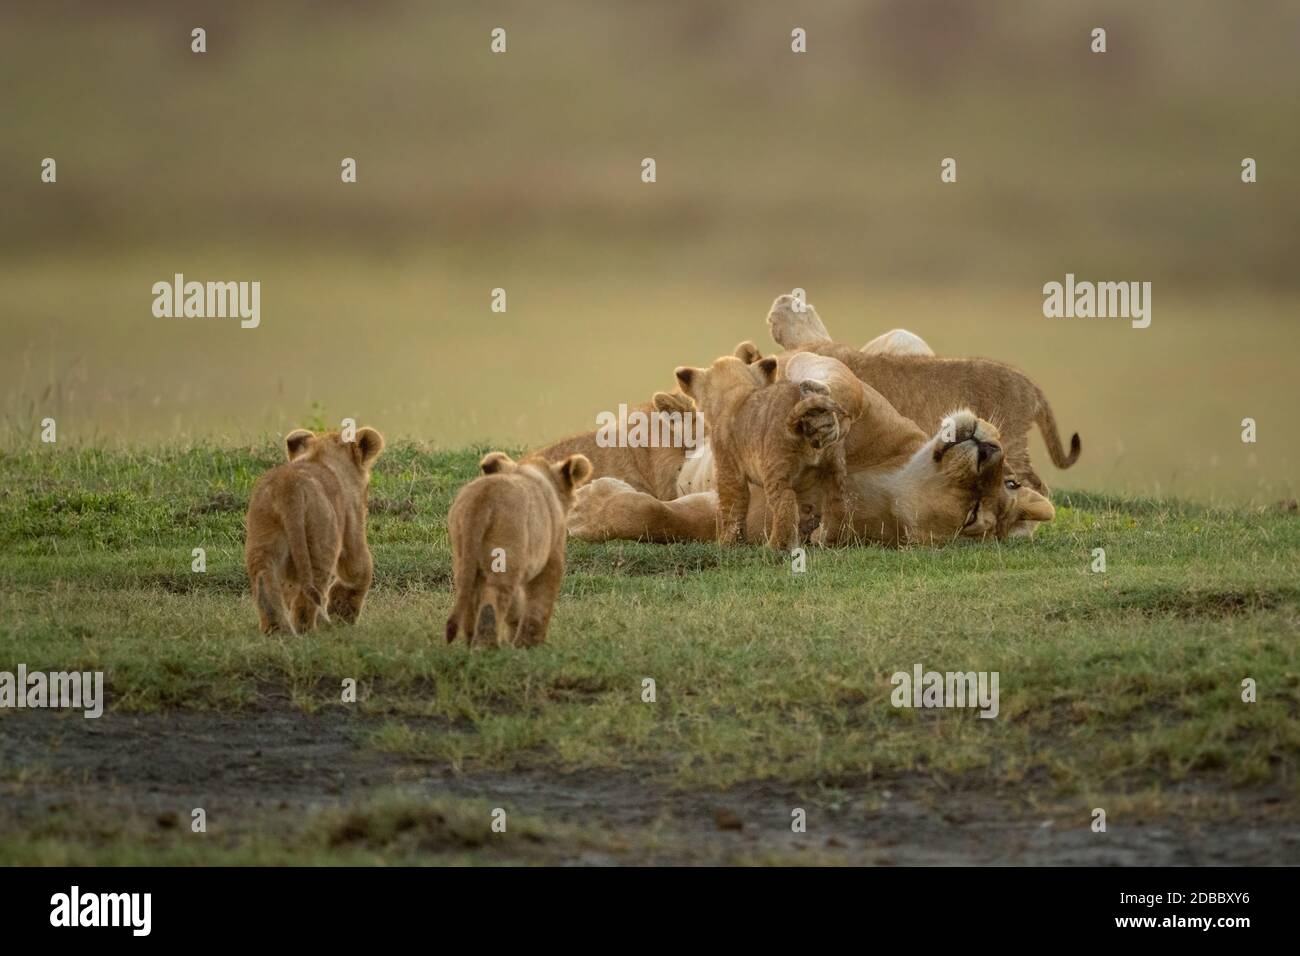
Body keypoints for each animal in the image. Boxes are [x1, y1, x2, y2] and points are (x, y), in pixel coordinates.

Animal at [245, 426, 385, 635]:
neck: (320, 455)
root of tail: (289, 487)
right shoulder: (352, 519)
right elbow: (359, 568)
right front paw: (342, 614)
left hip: (263, 539)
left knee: (265, 583)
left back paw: (279, 631)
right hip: (321, 541)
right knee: (307, 595)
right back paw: (309, 631)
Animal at [446, 450, 593, 648]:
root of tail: (482, 498)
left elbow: (516, 606)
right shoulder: (551, 556)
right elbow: (540, 601)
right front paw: (529, 644)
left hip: (464, 553)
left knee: (468, 592)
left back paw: (472, 643)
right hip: (504, 555)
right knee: (493, 598)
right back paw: (487, 646)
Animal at [673, 354, 853, 549]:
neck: (735, 393)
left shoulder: (728, 469)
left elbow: (732, 506)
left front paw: (727, 543)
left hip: (775, 465)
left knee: (785, 501)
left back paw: (774, 546)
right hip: (832, 466)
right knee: (837, 503)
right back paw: (831, 540)